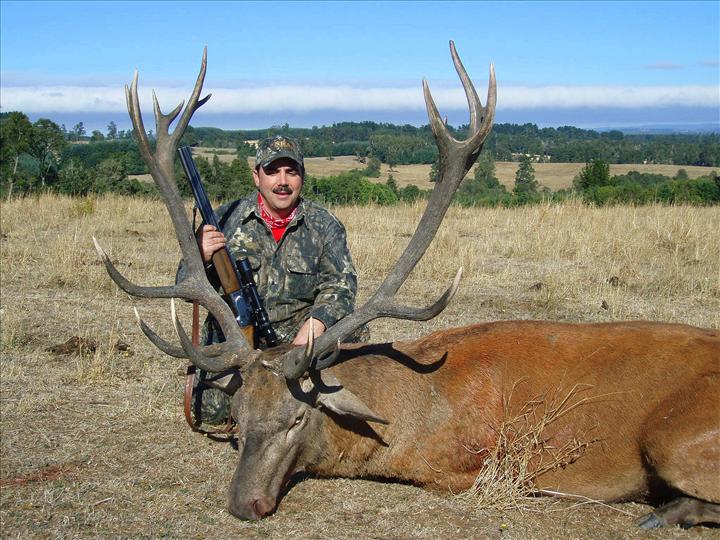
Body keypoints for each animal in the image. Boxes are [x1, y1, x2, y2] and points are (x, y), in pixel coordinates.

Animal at [93, 43, 720, 529]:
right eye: (241, 418)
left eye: (296, 418)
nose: (243, 504)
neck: (408, 416)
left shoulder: (470, 462)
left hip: (675, 437)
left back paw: (663, 511)